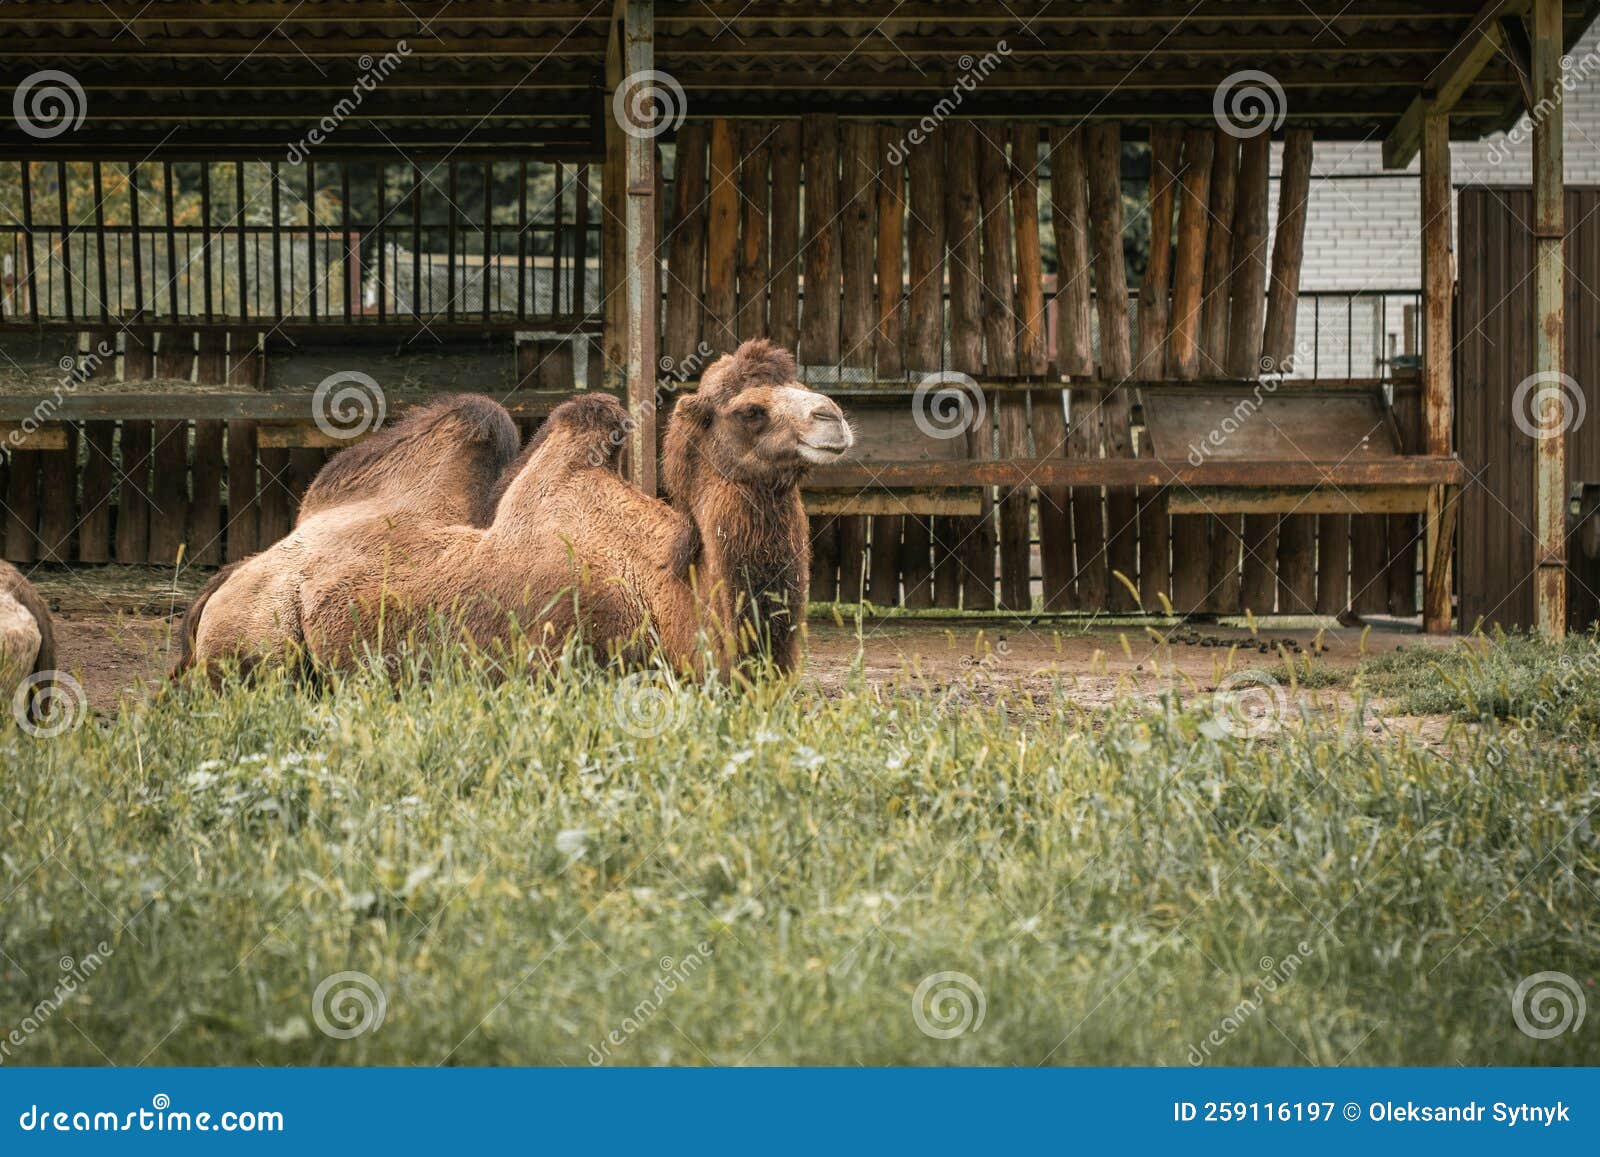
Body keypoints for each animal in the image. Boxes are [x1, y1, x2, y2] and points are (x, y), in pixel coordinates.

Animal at [176, 339, 853, 680]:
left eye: (807, 388)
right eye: (751, 410)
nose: (835, 418)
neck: (675, 590)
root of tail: (232, 574)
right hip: (262, 641)